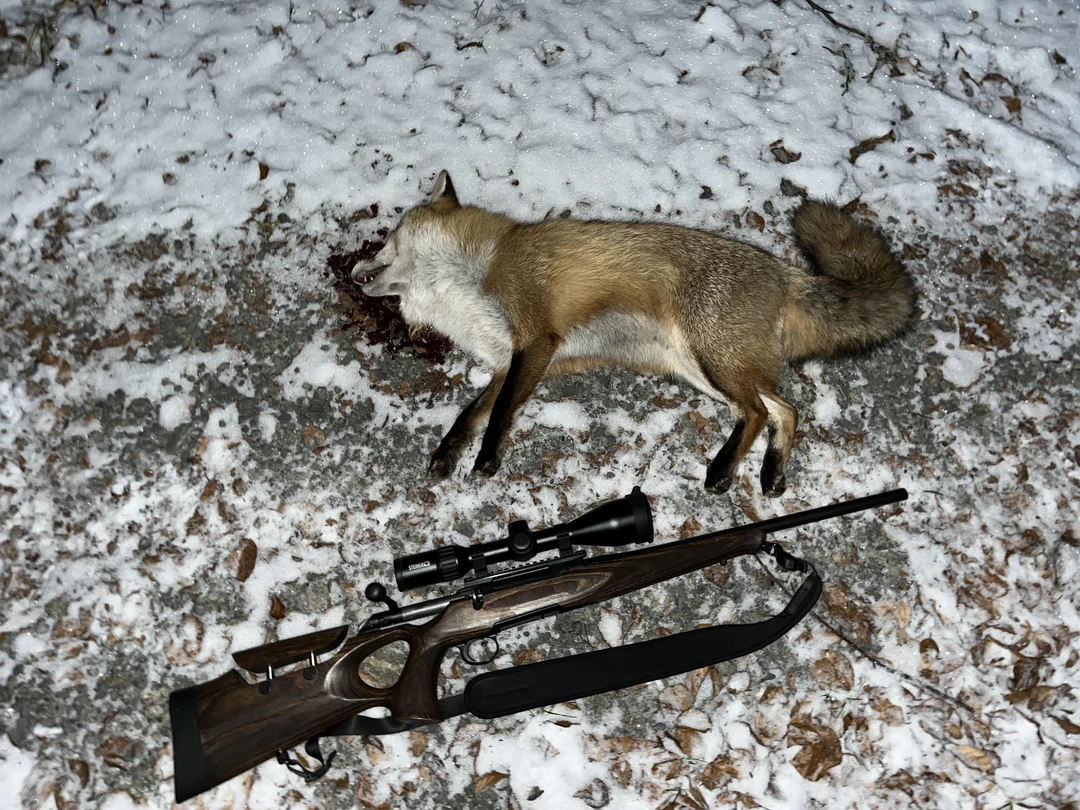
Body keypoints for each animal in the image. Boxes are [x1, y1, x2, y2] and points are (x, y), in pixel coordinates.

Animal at [352, 171, 915, 496]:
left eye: (389, 237)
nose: (357, 268)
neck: (465, 281)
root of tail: (783, 271)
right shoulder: (509, 358)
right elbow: (470, 414)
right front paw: (448, 454)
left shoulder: (535, 340)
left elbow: (497, 416)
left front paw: (487, 459)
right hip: (703, 369)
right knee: (785, 410)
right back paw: (770, 473)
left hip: (710, 357)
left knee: (759, 412)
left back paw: (722, 471)